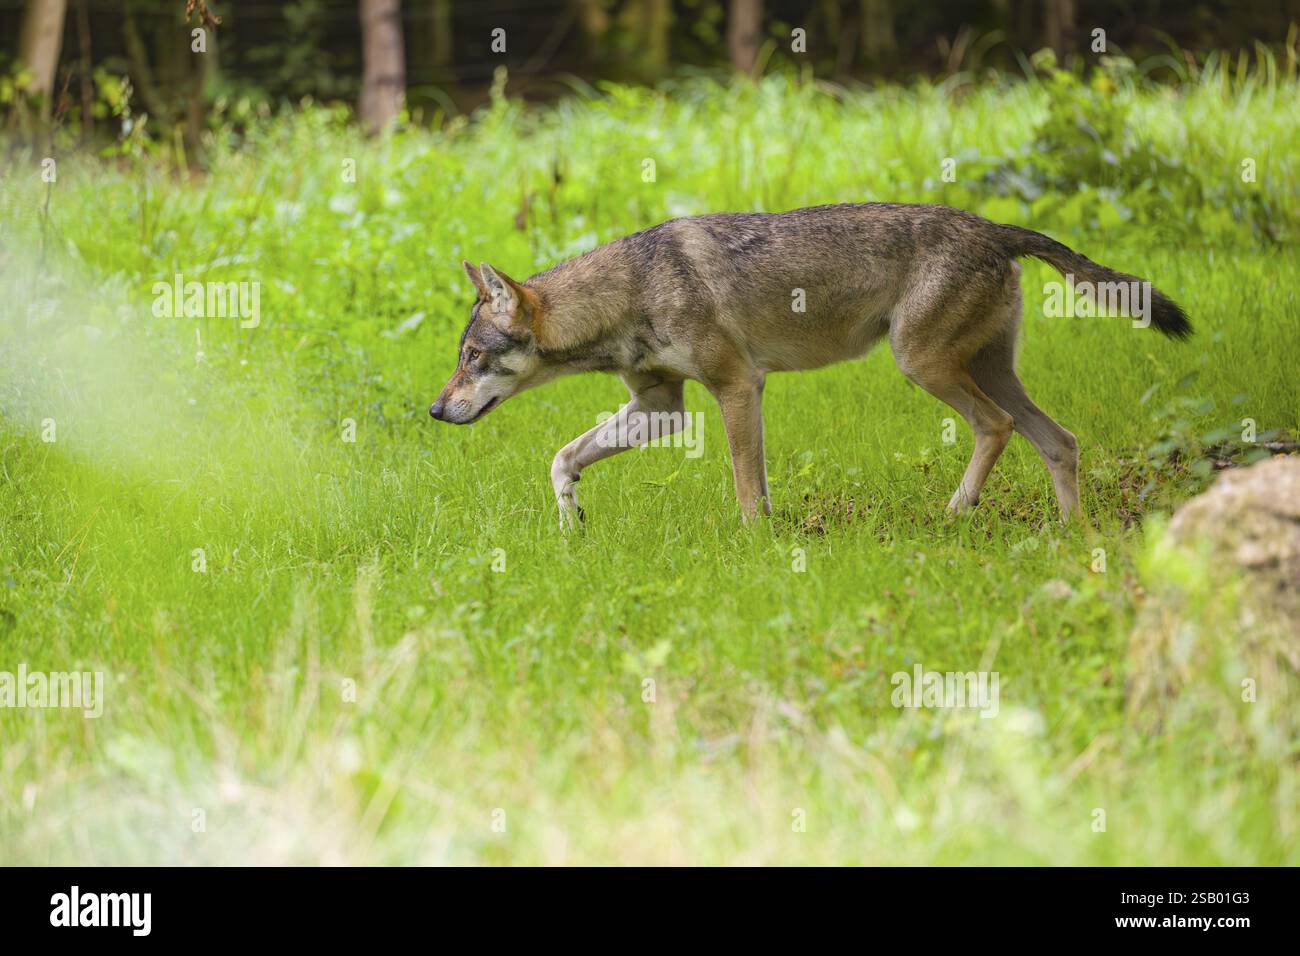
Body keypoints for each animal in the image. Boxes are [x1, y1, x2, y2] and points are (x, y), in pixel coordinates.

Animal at [429, 203, 1191, 528]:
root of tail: (992, 227)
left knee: (998, 427)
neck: (630, 290)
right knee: (1059, 441)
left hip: (924, 366)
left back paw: (957, 510)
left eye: (473, 357)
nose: (435, 410)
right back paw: (1069, 534)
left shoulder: (738, 387)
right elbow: (562, 458)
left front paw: (756, 542)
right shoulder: (662, 409)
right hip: (984, 370)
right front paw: (570, 519)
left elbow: (746, 487)